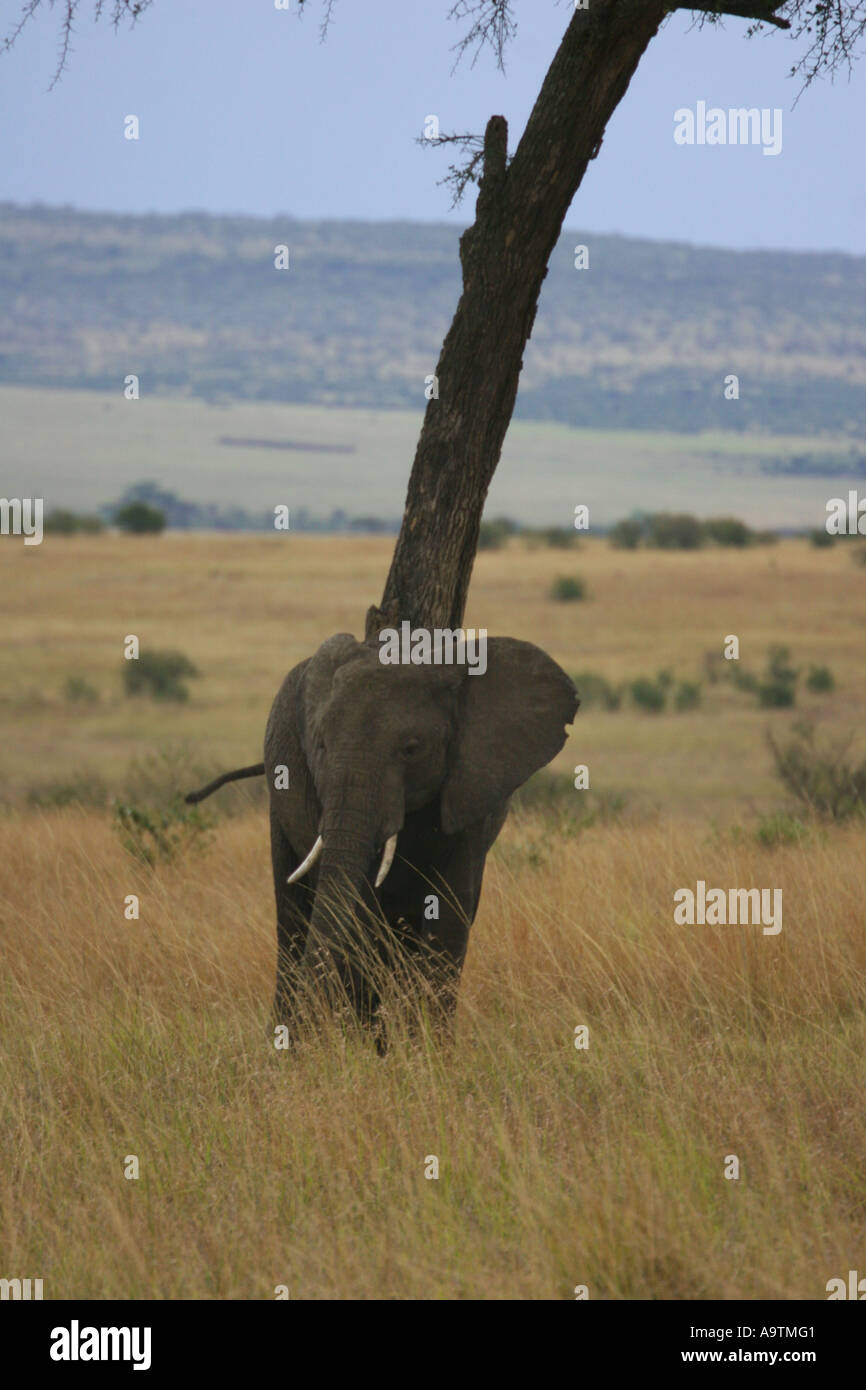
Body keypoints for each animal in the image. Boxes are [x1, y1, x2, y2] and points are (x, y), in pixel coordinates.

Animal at [187, 631, 578, 1042]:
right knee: (292, 919)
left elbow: (449, 912)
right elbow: (360, 916)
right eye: (321, 745)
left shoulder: (472, 785)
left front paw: (427, 1048)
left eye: (411, 748)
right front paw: (374, 1044)